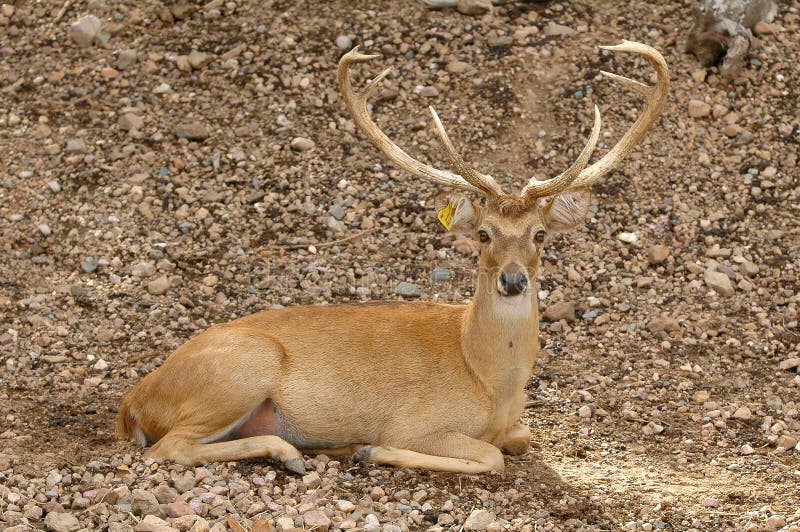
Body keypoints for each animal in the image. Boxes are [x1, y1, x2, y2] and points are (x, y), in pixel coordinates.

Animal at [117, 41, 668, 474]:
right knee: (168, 449)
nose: (513, 281)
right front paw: (370, 450)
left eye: (539, 235)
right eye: (484, 234)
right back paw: (297, 452)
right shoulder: (415, 420)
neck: (489, 381)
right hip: (240, 370)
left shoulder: (514, 424)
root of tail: (134, 401)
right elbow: (488, 457)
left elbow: (519, 439)